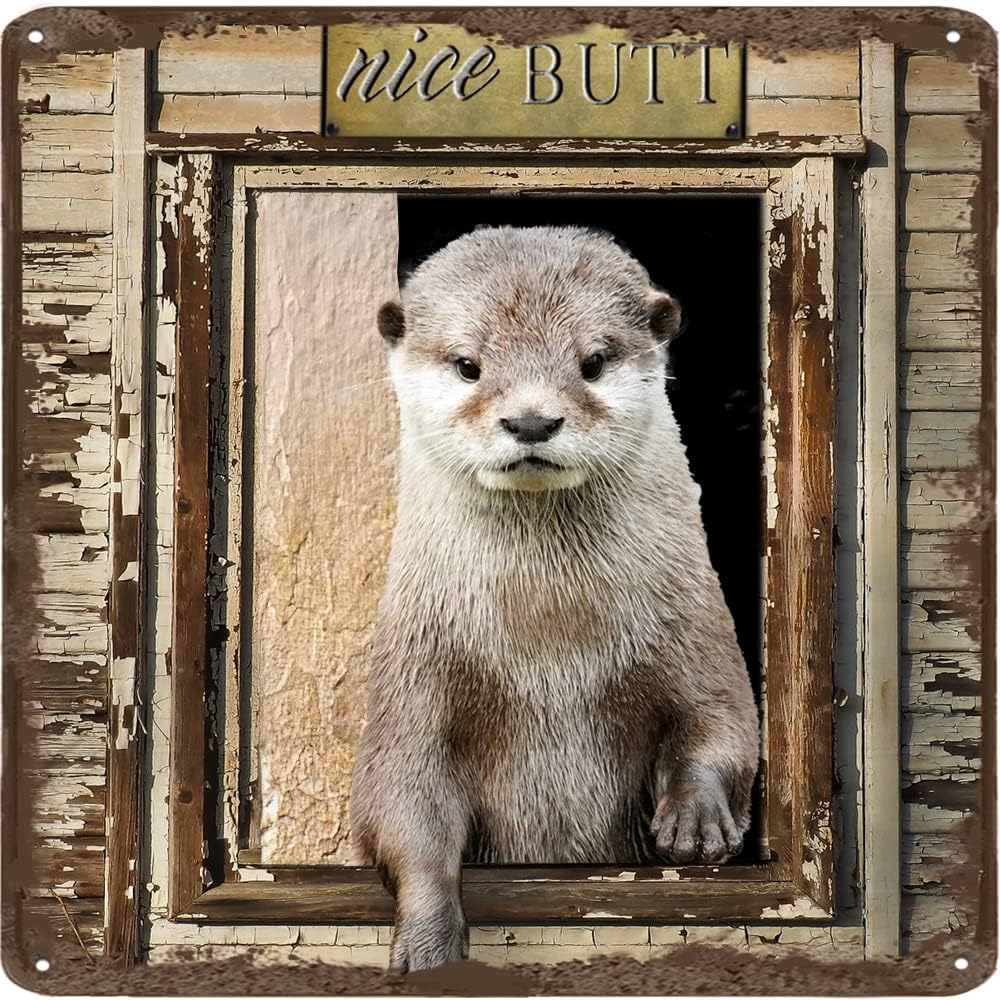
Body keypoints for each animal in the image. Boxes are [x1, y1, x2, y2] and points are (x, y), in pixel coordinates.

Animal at [349, 225, 759, 972]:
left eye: (592, 361)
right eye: (468, 365)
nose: (532, 420)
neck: (551, 647)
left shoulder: (698, 634)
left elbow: (725, 724)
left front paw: (695, 820)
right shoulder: (412, 680)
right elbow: (398, 802)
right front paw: (428, 942)